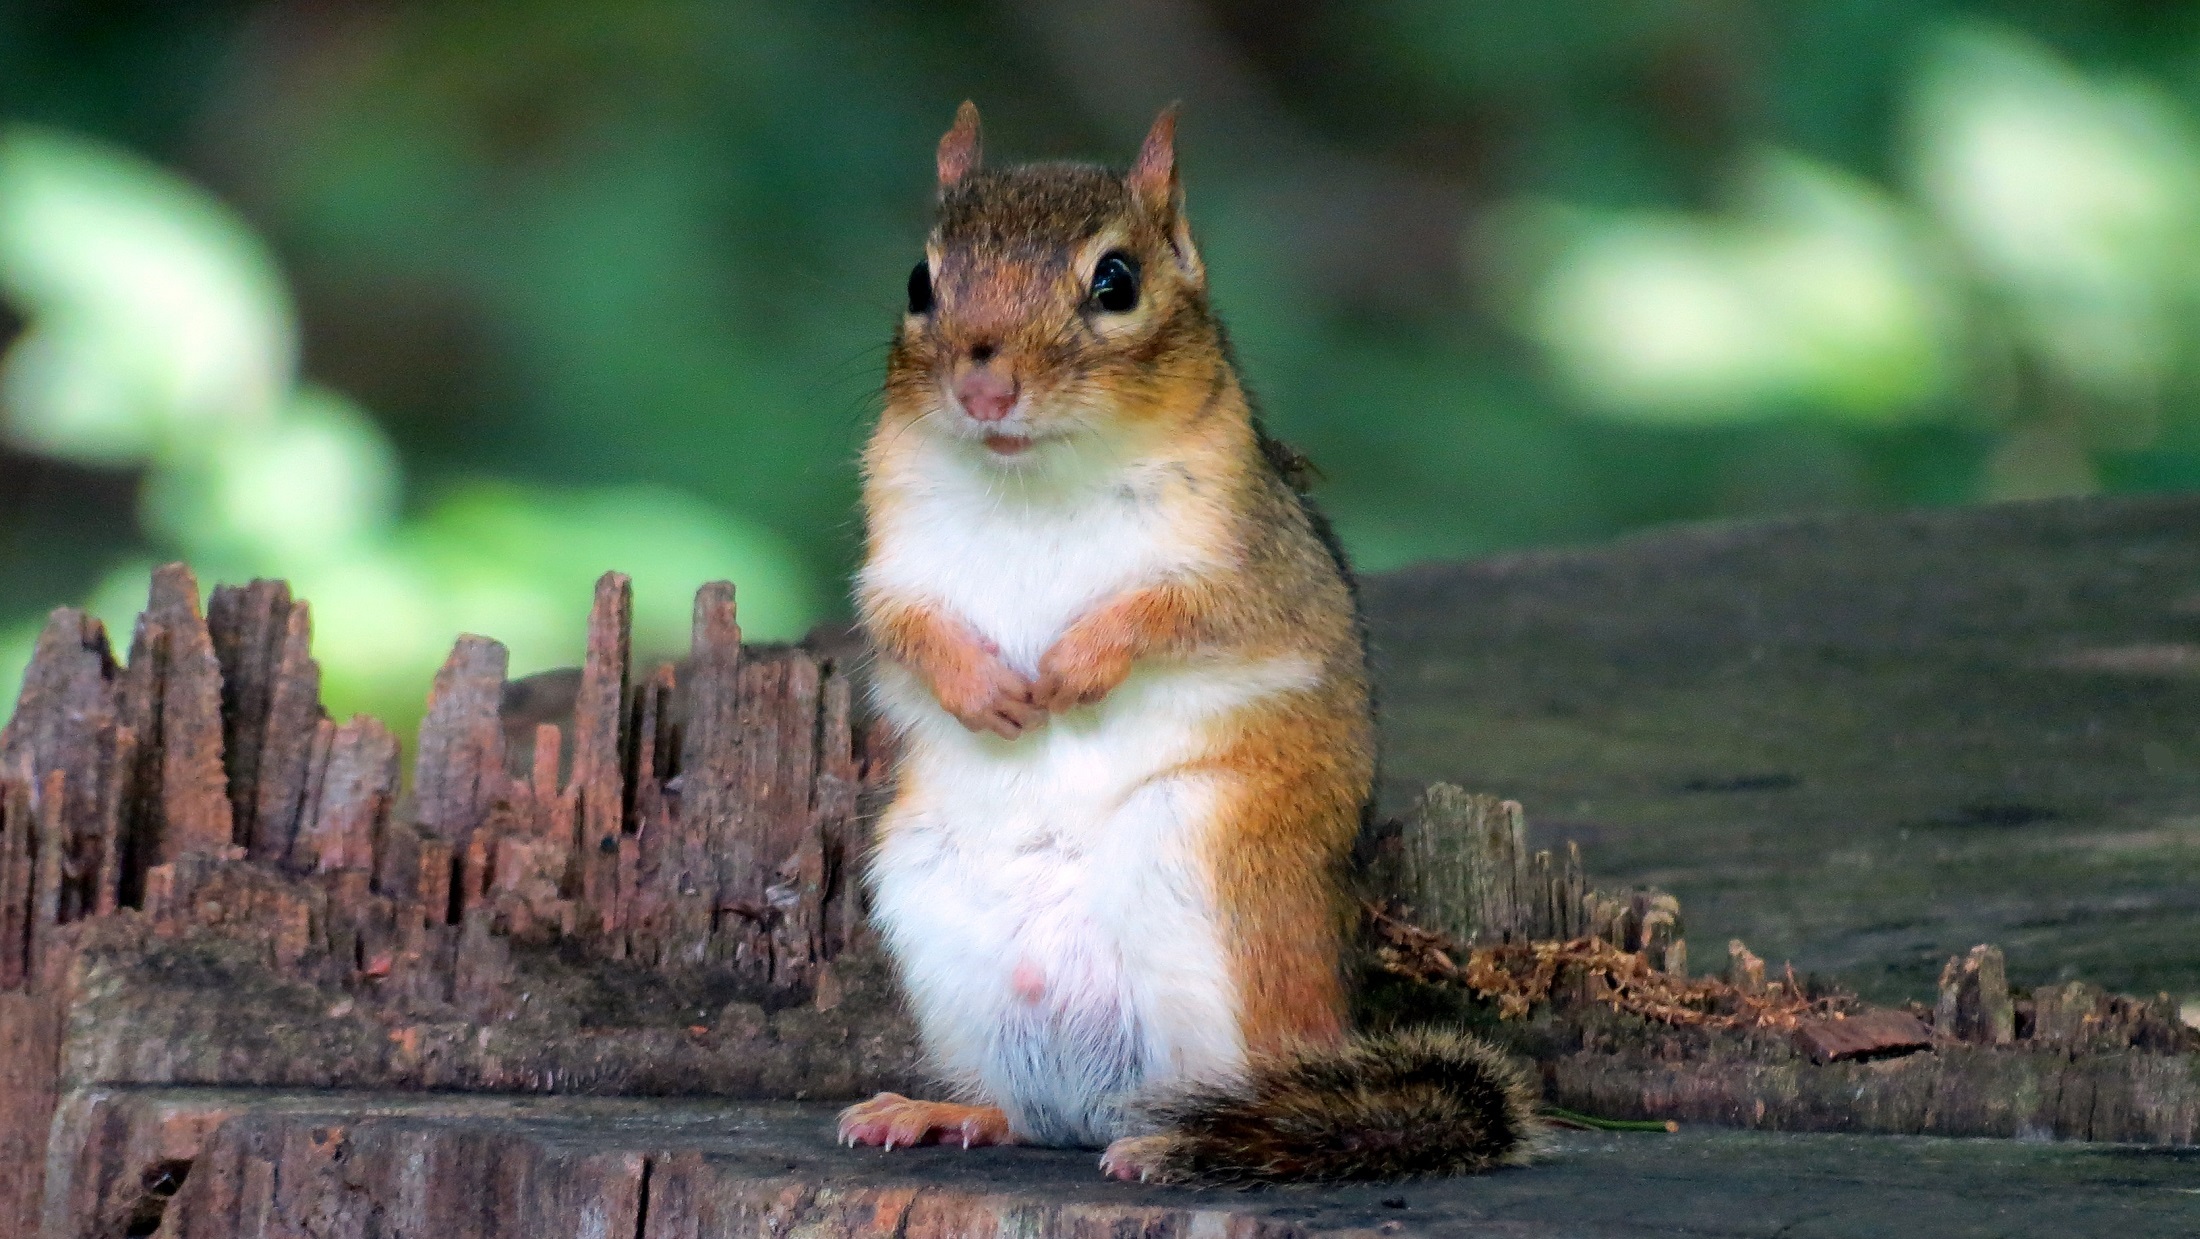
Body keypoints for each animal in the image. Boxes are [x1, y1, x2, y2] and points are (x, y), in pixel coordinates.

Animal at [836, 102, 1538, 1185]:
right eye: (920, 280)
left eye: (1115, 282)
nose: (982, 392)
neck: (1035, 481)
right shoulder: (896, 558)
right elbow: (904, 627)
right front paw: (982, 688)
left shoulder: (1241, 568)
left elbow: (1174, 615)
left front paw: (1075, 666)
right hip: (929, 908)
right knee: (1026, 1112)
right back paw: (944, 1111)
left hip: (1216, 886)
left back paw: (1168, 1139)